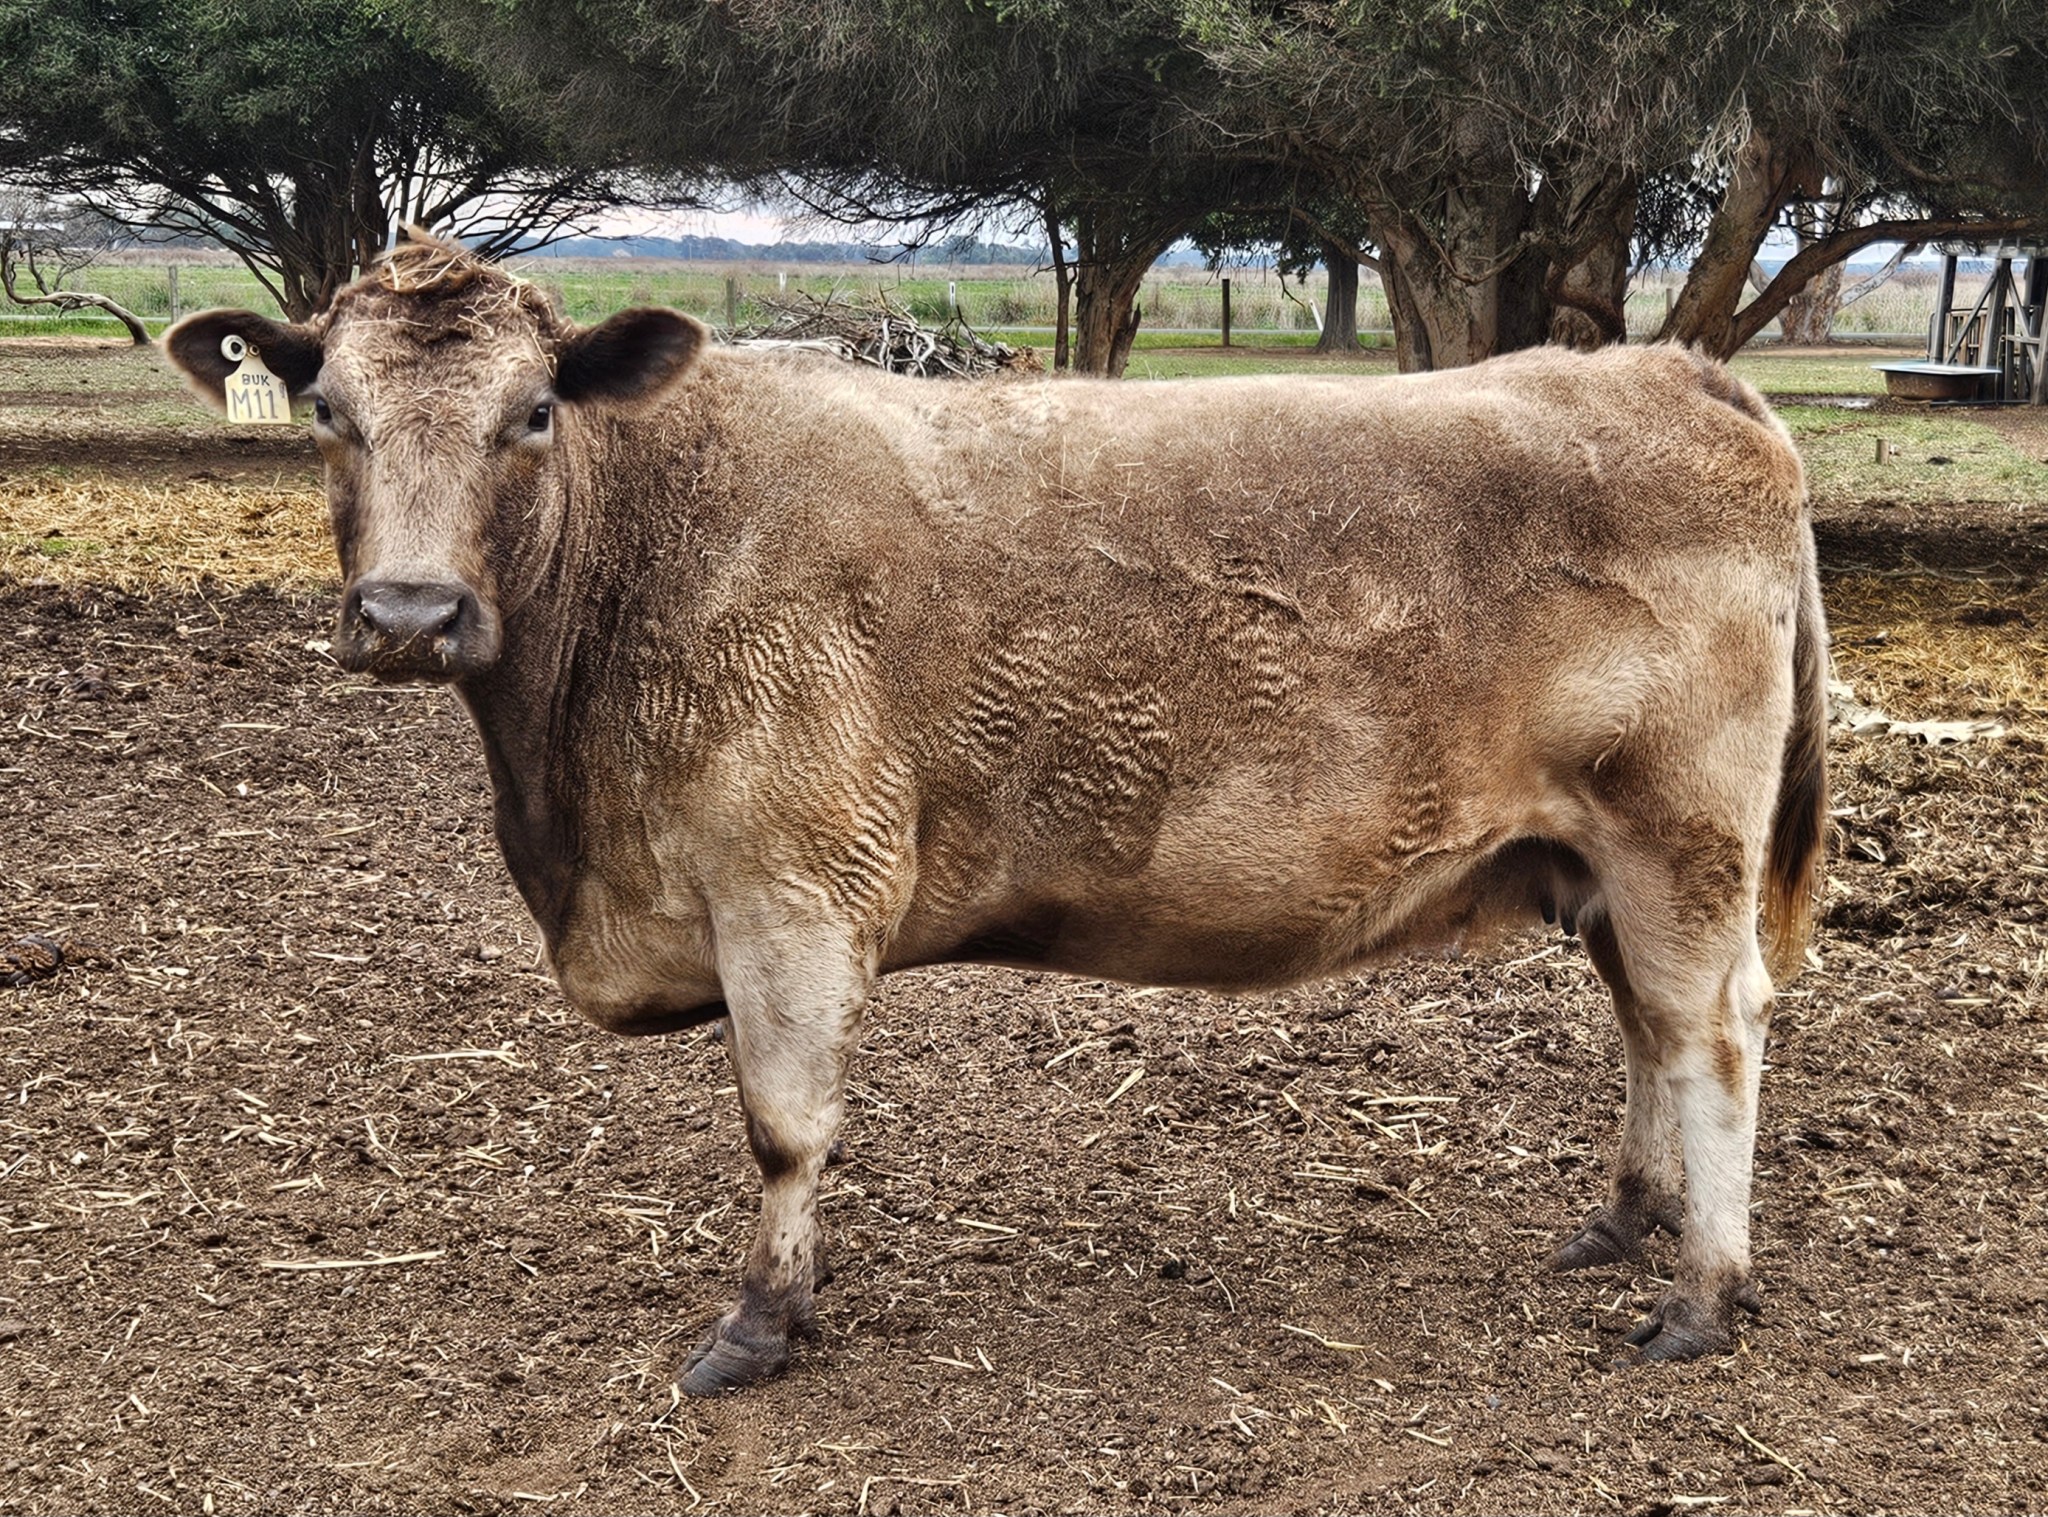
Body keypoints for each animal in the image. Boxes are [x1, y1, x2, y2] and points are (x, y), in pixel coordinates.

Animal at [165, 233, 1827, 1395]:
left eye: (528, 416)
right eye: (326, 409)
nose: (410, 614)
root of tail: (1669, 368)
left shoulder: (792, 892)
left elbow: (783, 1127)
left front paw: (760, 1324)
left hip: (1680, 837)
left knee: (1714, 1032)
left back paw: (1703, 1293)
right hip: (1596, 855)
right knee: (1649, 1025)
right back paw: (1625, 1220)